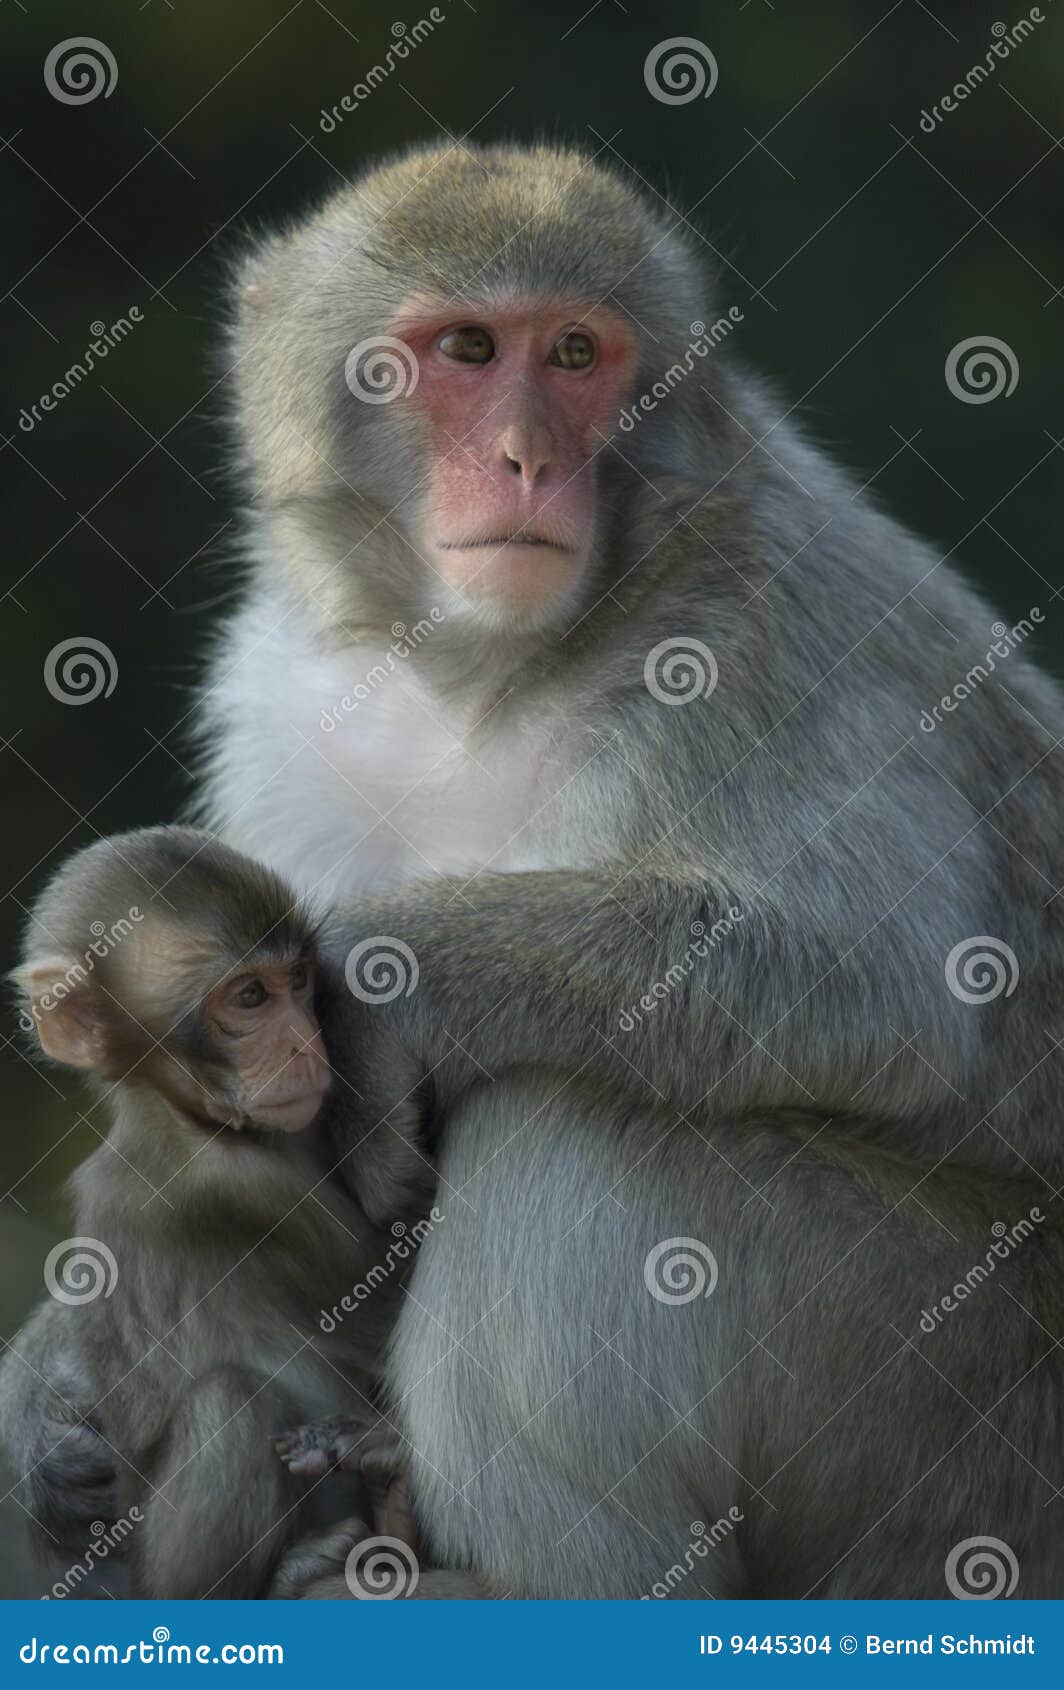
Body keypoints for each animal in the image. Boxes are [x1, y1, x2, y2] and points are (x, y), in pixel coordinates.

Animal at [3, 826, 414, 1599]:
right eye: (249, 997)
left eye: (297, 981)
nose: (304, 1043)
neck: (186, 1116)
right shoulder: (228, 1190)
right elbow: (384, 1301)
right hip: (161, 1572)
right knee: (230, 1401)